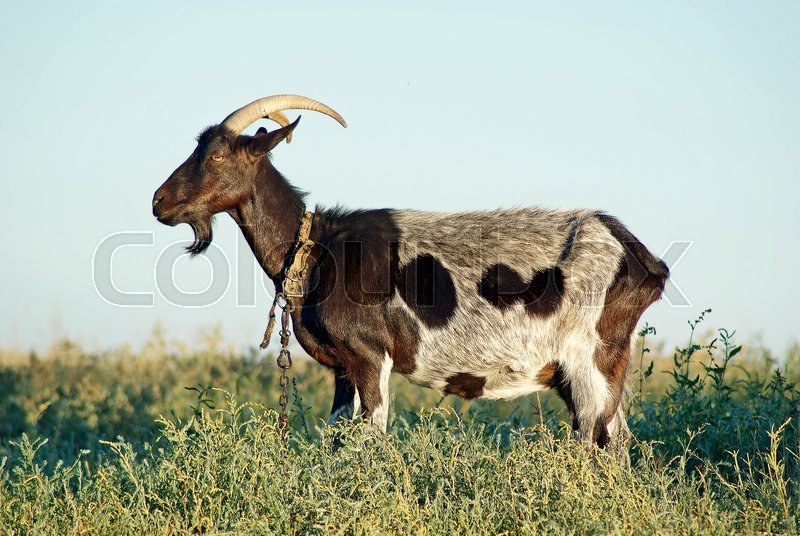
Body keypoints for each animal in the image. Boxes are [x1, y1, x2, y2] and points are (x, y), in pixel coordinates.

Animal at [152, 94, 669, 454]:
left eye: (217, 156)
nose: (159, 203)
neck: (318, 249)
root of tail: (638, 255)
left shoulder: (370, 356)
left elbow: (372, 437)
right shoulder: (342, 367)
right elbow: (337, 439)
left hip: (591, 358)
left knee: (600, 437)